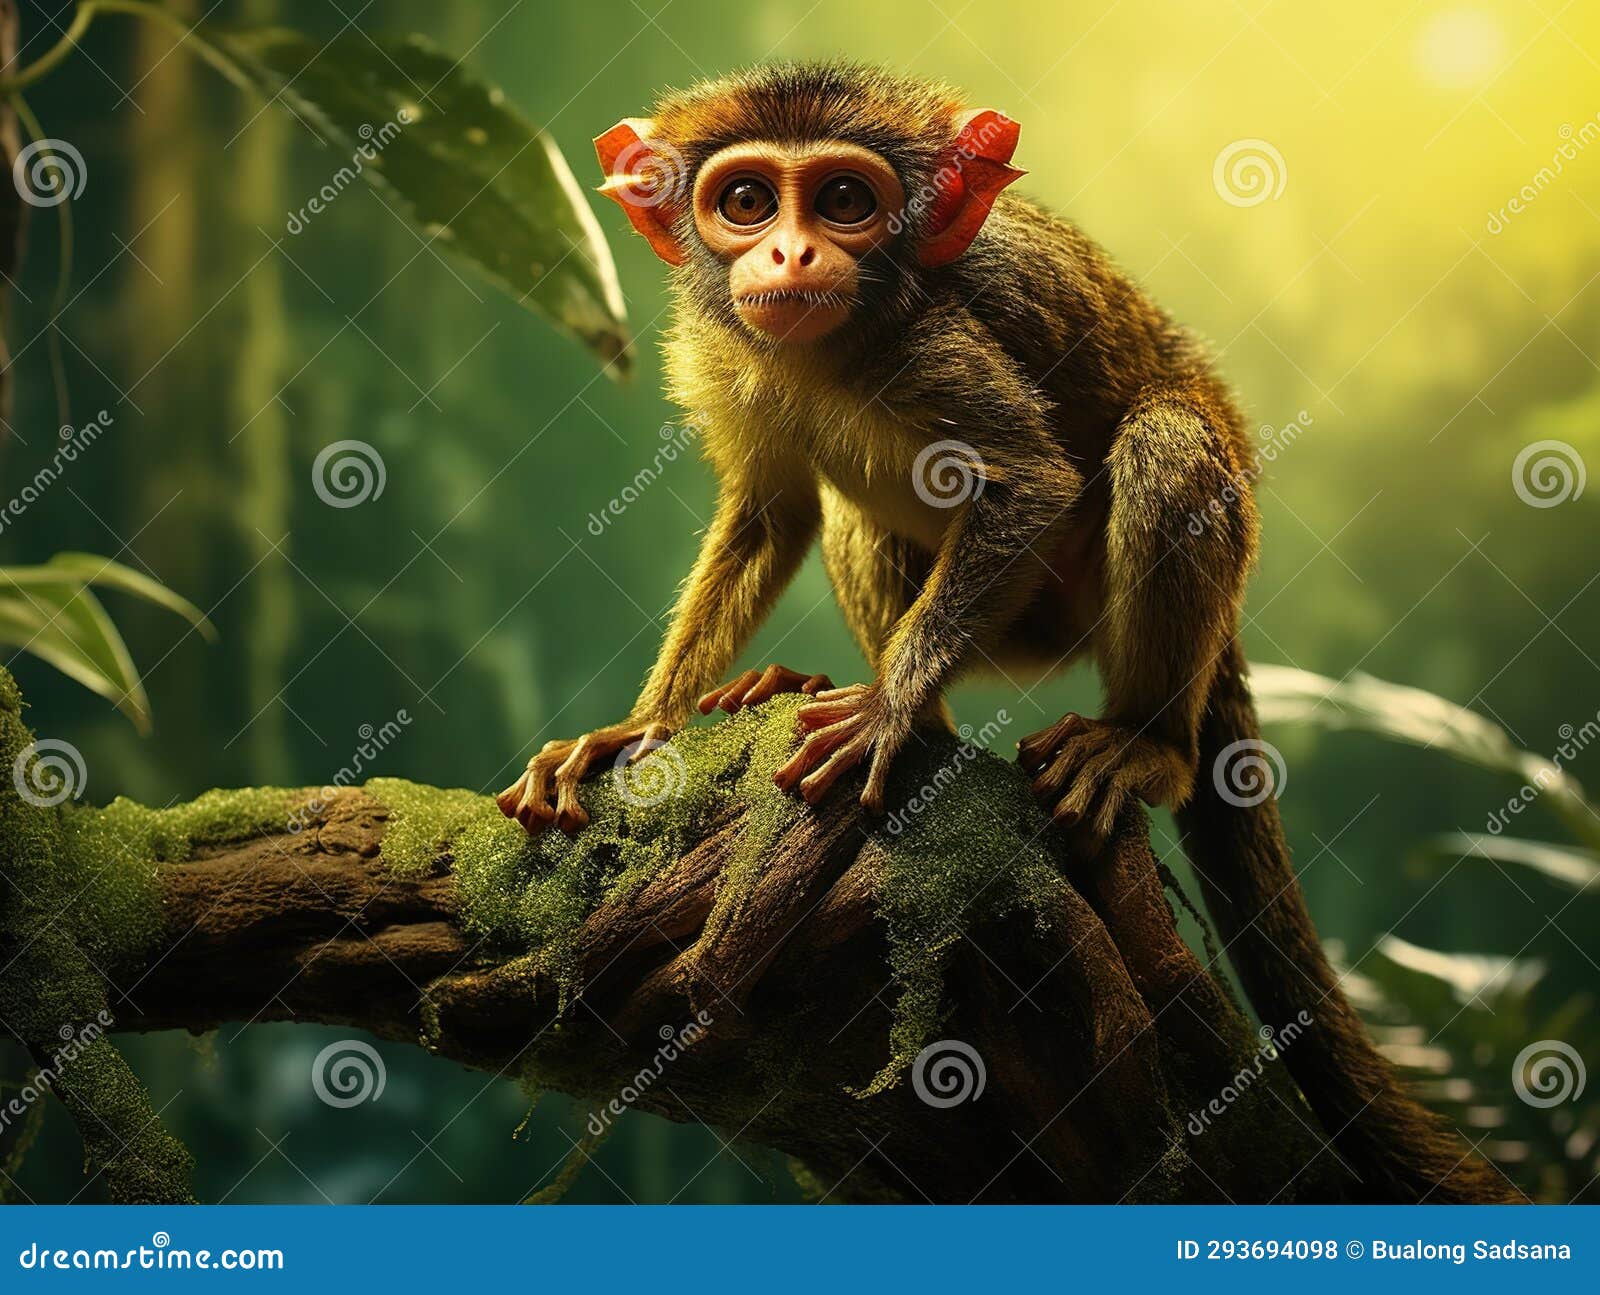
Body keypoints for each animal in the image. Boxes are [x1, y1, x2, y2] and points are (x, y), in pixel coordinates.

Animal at [496, 62, 1512, 1203]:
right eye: (746, 201)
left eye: (844, 201)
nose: (791, 254)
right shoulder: (725, 350)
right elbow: (771, 511)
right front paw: (636, 730)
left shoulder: (939, 349)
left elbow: (1026, 484)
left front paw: (886, 706)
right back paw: (849, 697)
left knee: (1165, 439)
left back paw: (1136, 743)